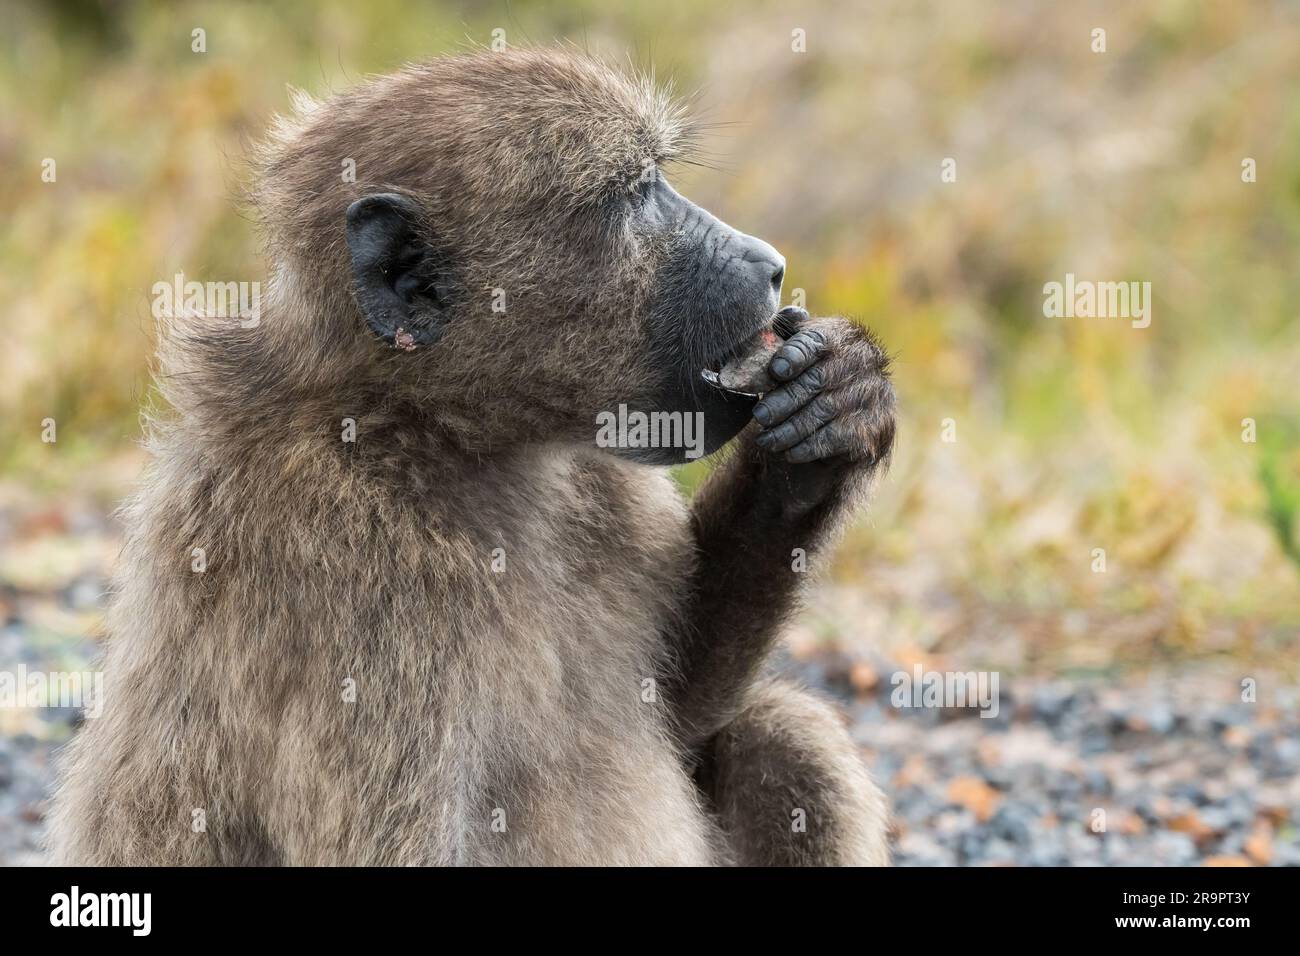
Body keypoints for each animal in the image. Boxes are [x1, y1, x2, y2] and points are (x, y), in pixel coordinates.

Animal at [47, 48, 896, 866]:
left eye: (656, 181)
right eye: (633, 197)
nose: (769, 263)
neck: (428, 432)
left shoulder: (598, 482)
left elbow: (687, 707)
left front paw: (832, 411)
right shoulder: (351, 569)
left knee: (782, 733)